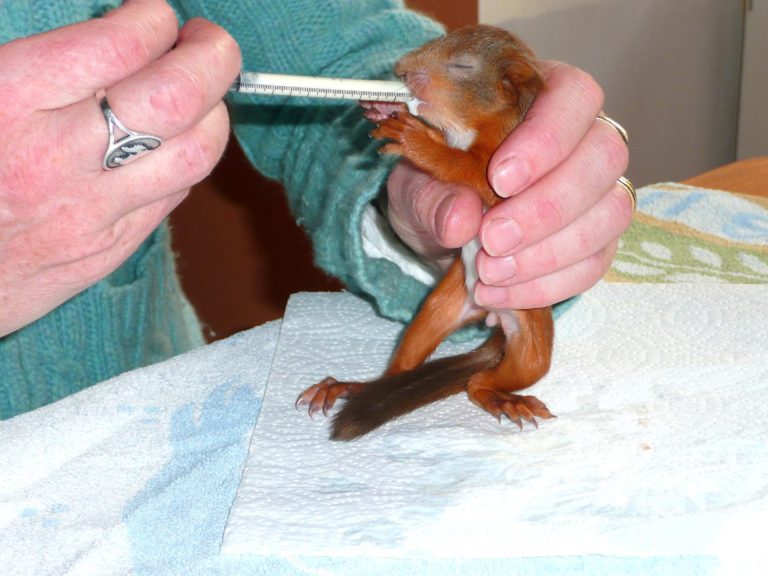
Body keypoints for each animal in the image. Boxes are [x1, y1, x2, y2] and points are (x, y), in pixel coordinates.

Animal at [296, 24, 555, 441]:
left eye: (463, 65)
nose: (399, 69)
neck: (468, 125)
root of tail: (491, 319)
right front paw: (388, 109)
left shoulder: (506, 166)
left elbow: (469, 171)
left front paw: (412, 138)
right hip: (438, 307)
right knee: (404, 361)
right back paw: (355, 386)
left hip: (530, 337)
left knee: (492, 378)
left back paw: (499, 396)